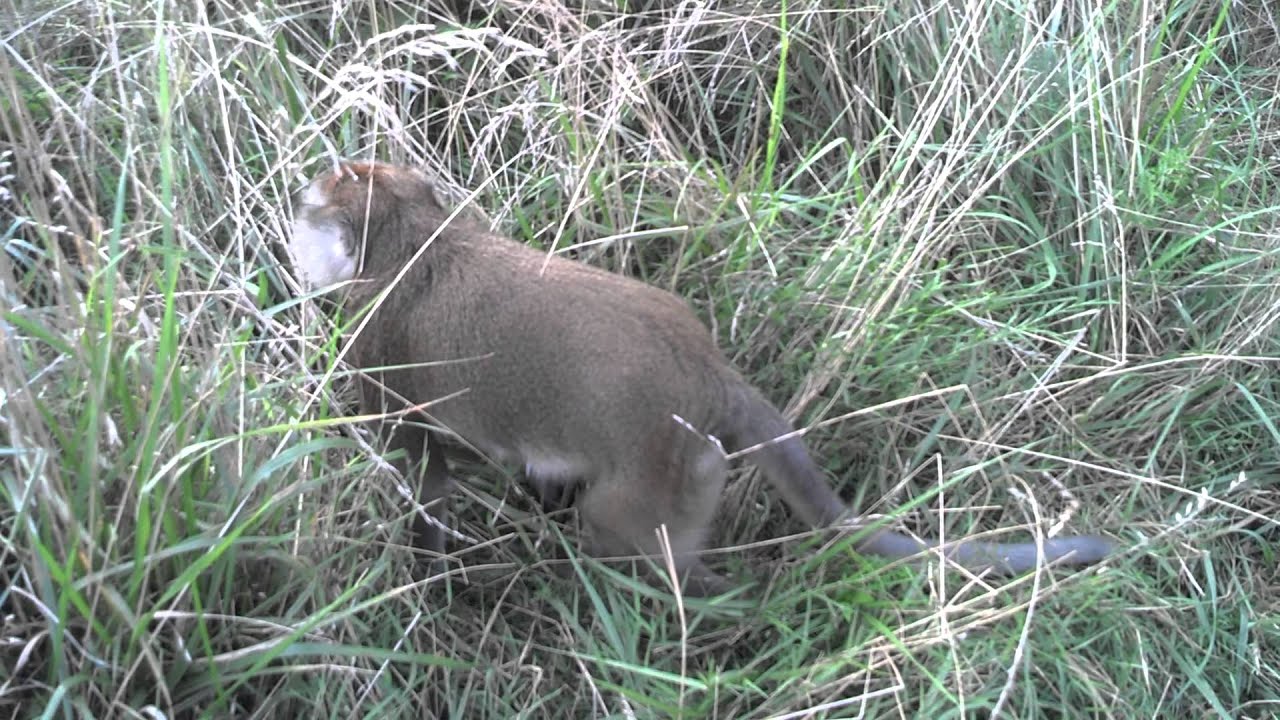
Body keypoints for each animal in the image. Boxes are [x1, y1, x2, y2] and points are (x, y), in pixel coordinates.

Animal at [286, 160, 1114, 596]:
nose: (301, 194)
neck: (414, 240)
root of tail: (710, 374)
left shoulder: (375, 346)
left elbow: (422, 473)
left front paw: (429, 568)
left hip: (655, 478)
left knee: (626, 537)